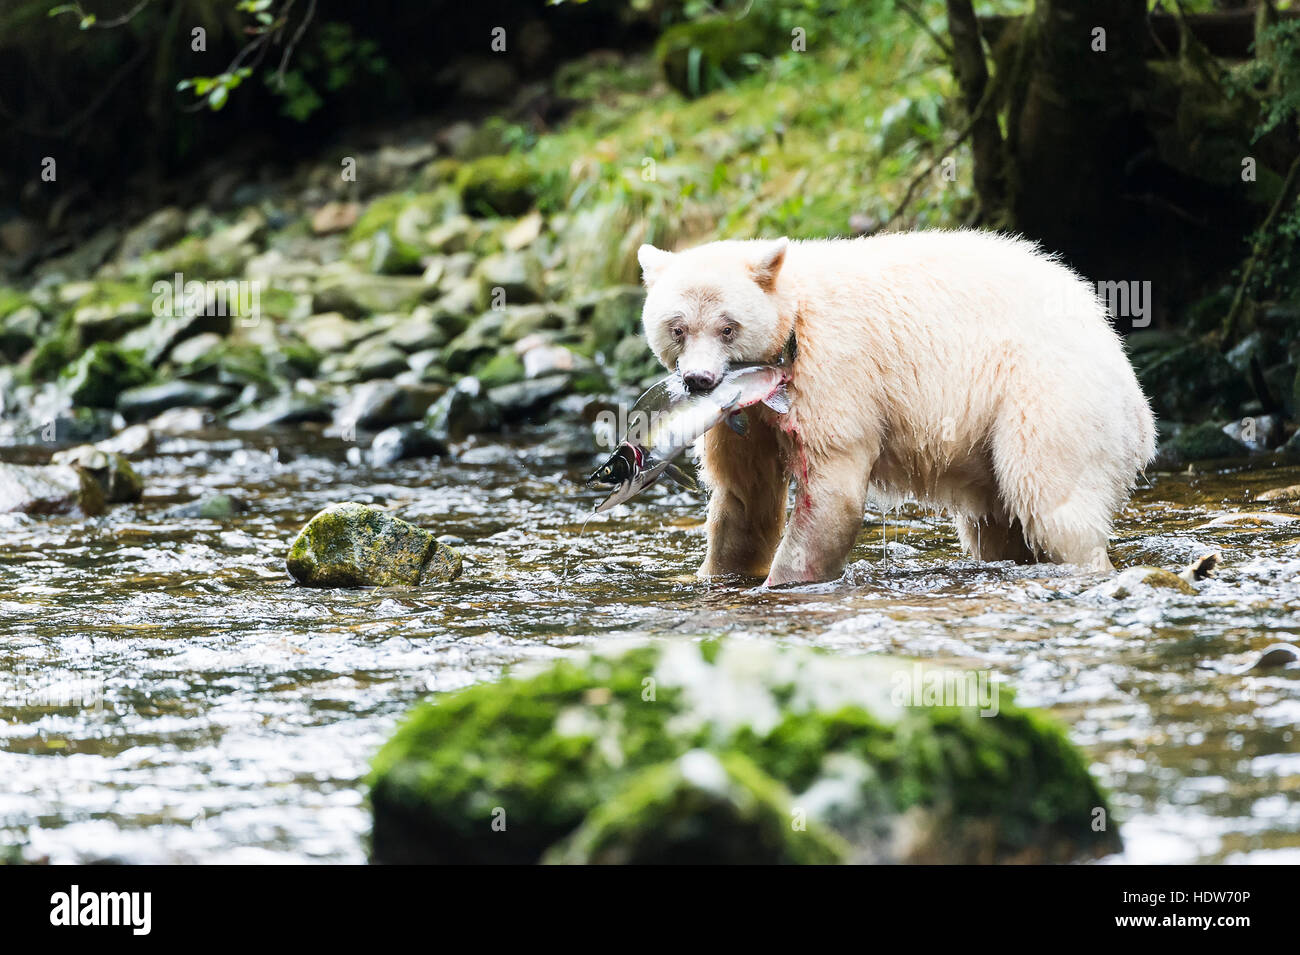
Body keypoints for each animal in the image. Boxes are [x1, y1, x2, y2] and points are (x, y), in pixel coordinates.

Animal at [636, 230, 1156, 586]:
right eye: (678, 327)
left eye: (727, 328)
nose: (698, 380)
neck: (794, 325)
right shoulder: (745, 415)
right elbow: (745, 494)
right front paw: (714, 575)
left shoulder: (833, 373)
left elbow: (831, 490)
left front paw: (783, 581)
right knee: (997, 524)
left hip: (1048, 397)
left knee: (1052, 503)